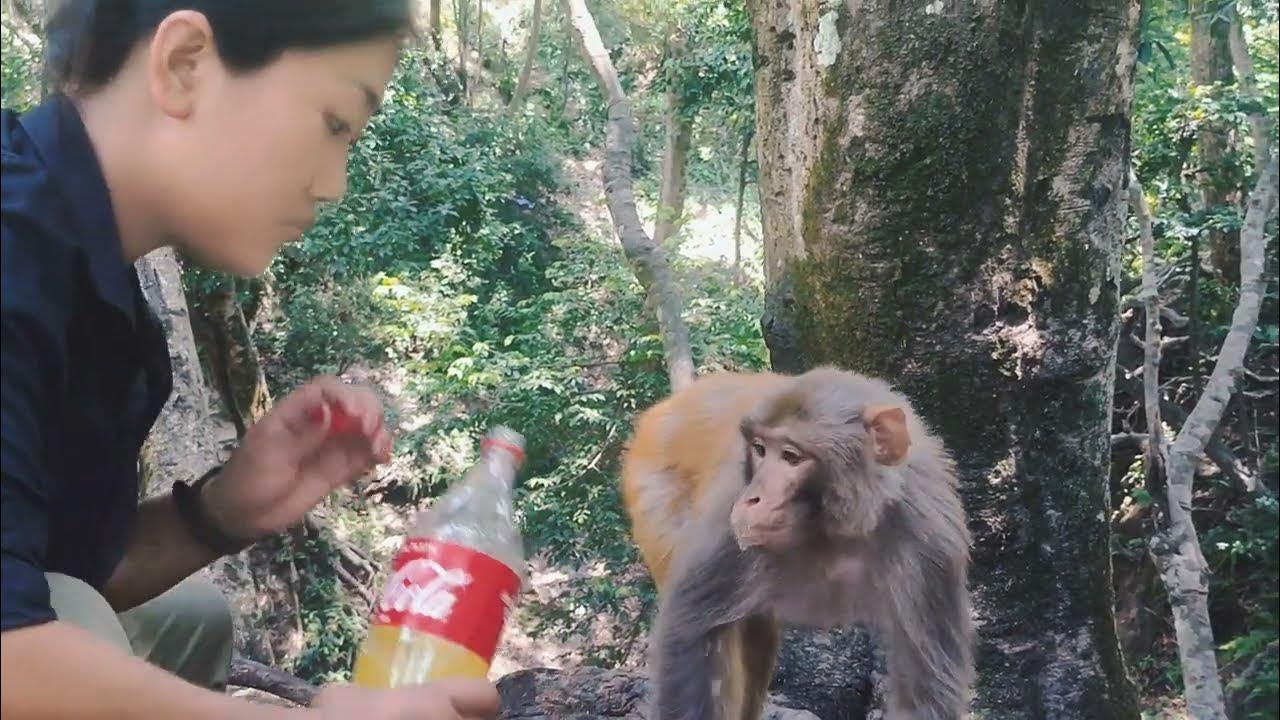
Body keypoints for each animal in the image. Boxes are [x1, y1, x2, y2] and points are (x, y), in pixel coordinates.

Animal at [620, 366, 974, 720]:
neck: (837, 529)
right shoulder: (728, 517)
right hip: (655, 489)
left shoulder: (929, 538)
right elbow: (688, 632)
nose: (751, 499)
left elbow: (924, 686)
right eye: (760, 449)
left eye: (791, 457)